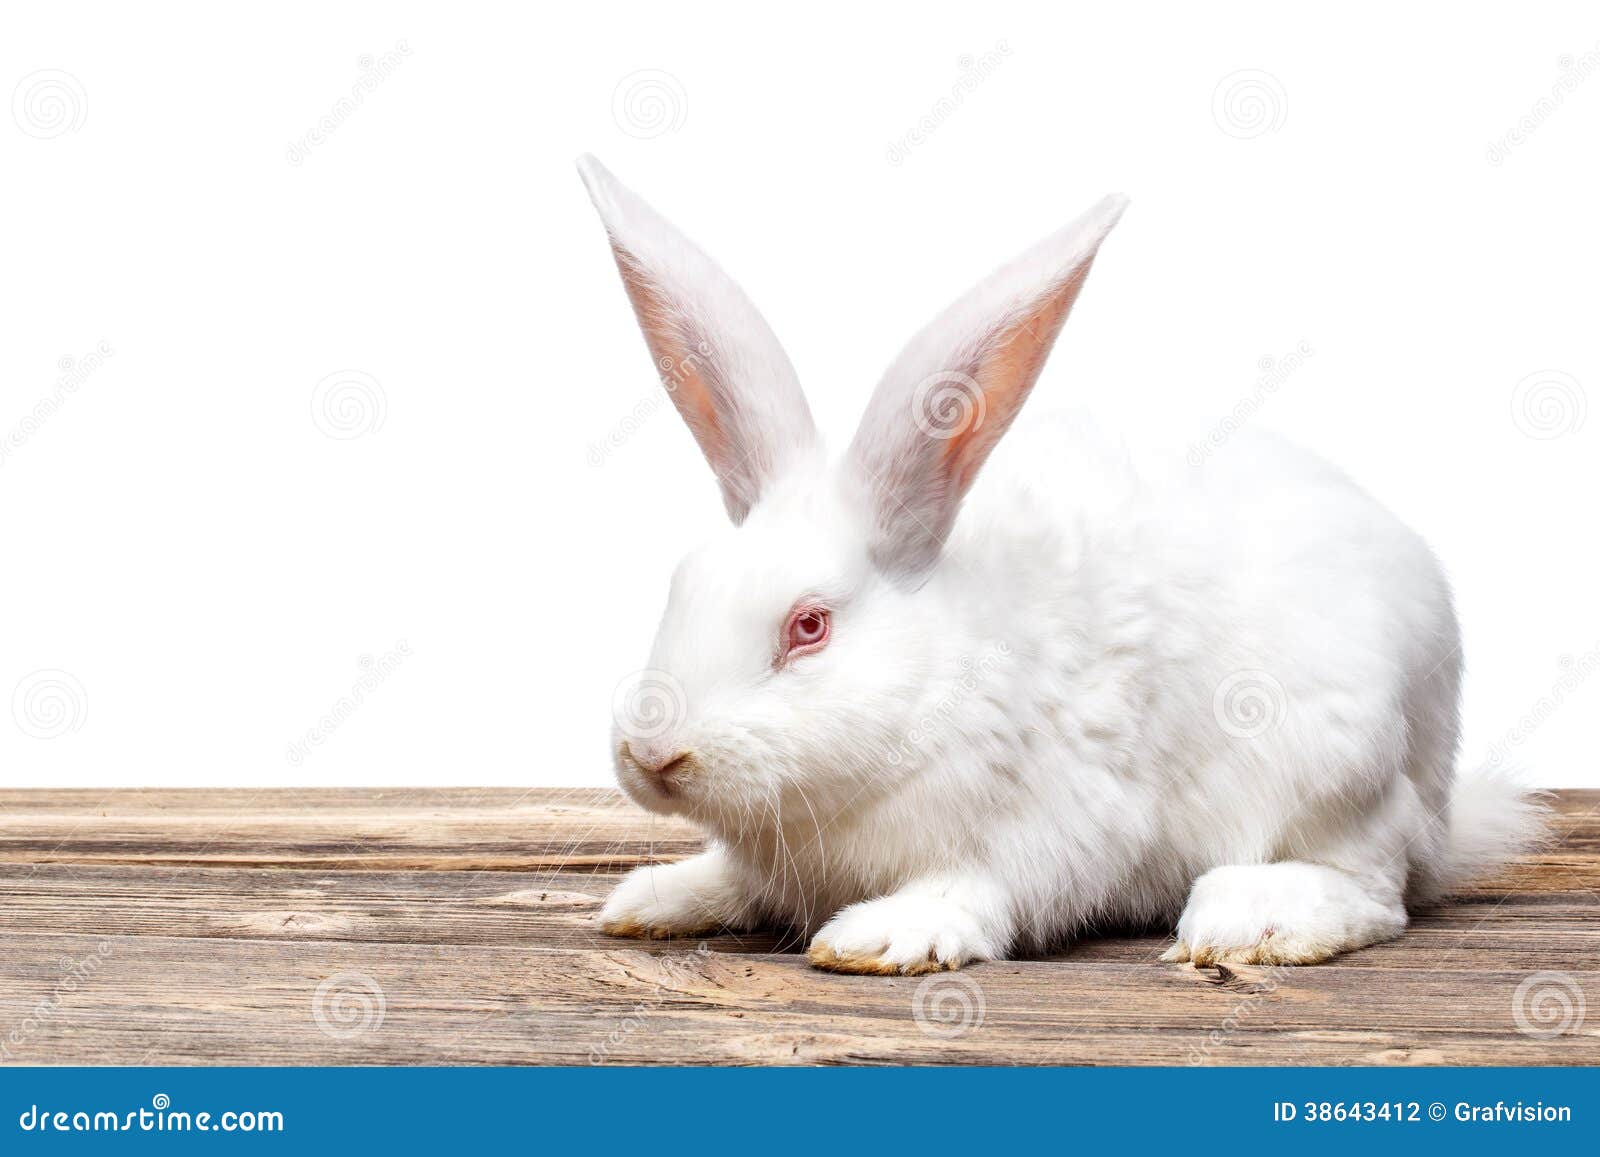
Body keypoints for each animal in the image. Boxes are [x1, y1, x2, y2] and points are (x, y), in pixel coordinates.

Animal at [577, 154, 1543, 974]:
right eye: (679, 585)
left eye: (808, 625)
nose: (652, 751)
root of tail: (1443, 800)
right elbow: (734, 881)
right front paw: (656, 898)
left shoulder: (1044, 828)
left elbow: (978, 891)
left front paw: (881, 937)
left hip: (1339, 767)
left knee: (1378, 891)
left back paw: (1248, 918)